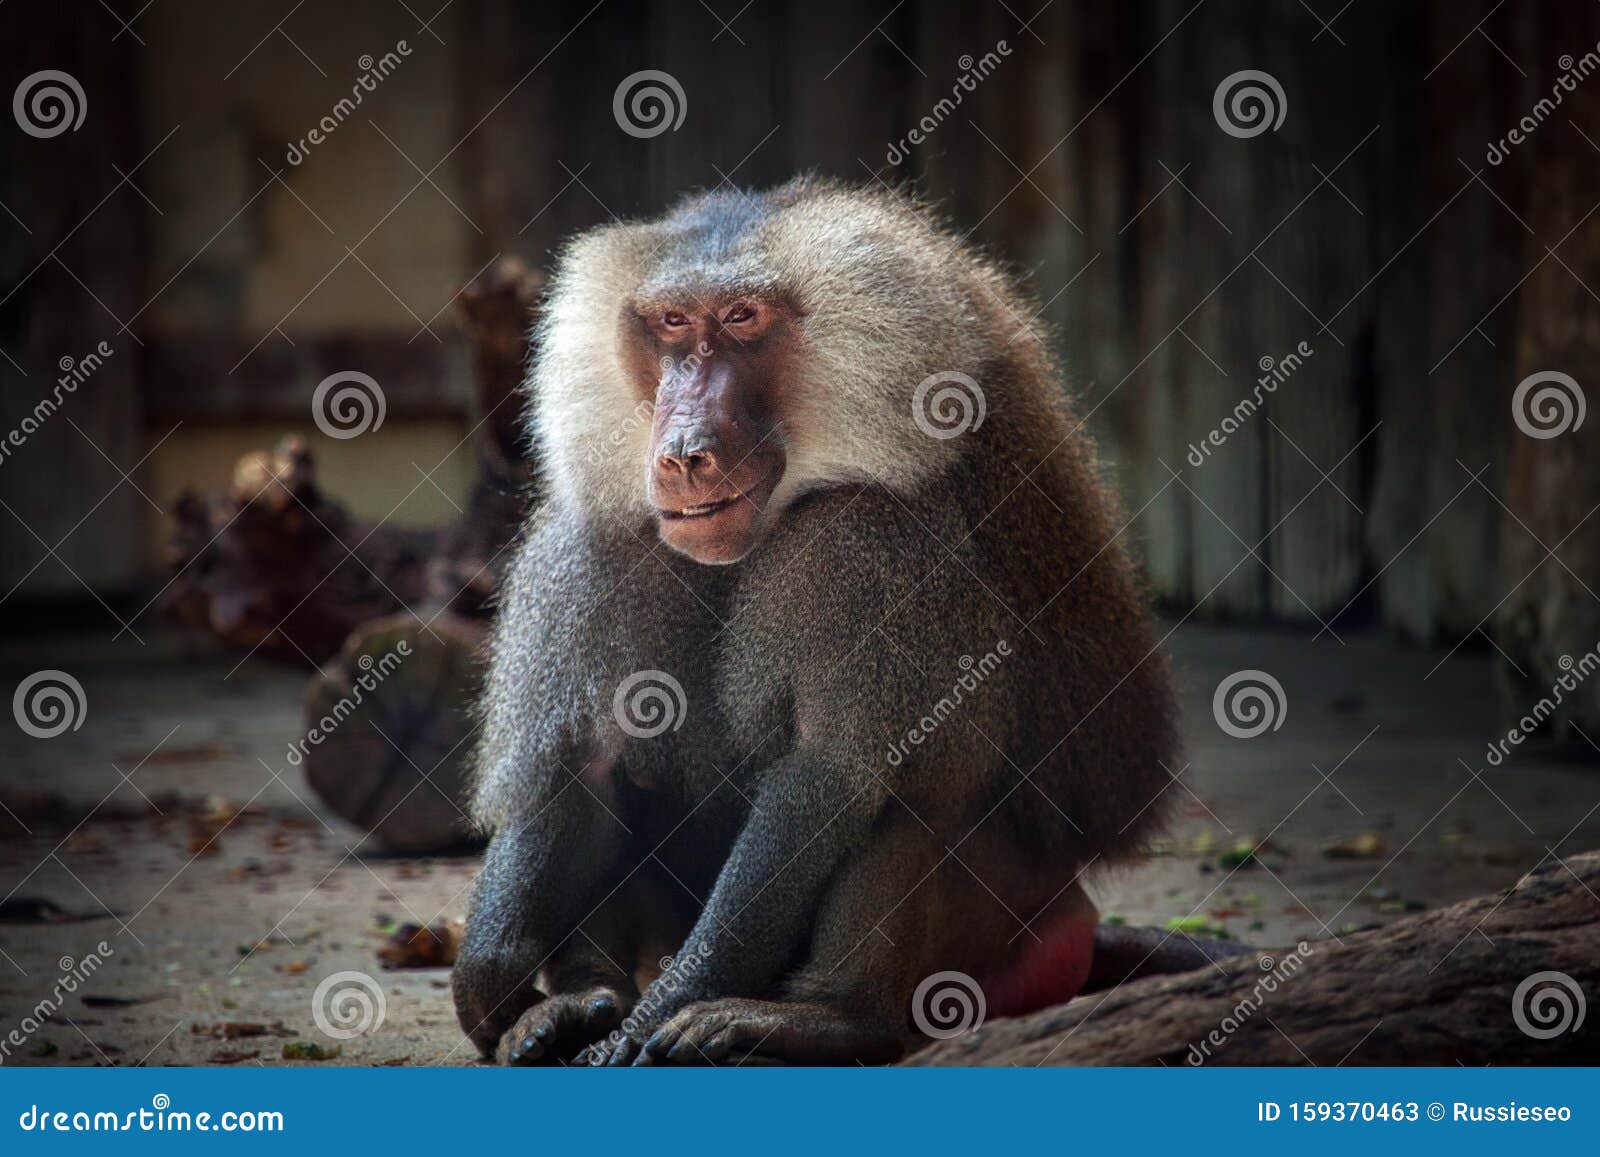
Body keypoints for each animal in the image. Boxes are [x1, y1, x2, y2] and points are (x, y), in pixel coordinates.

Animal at [450, 176, 1186, 1066]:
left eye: (742, 318)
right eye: (671, 323)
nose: (683, 452)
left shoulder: (867, 539)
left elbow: (825, 777)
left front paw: (659, 1011)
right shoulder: (600, 541)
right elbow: (581, 765)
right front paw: (500, 992)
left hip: (1001, 916)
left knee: (911, 789)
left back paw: (819, 1020)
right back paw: (579, 1002)